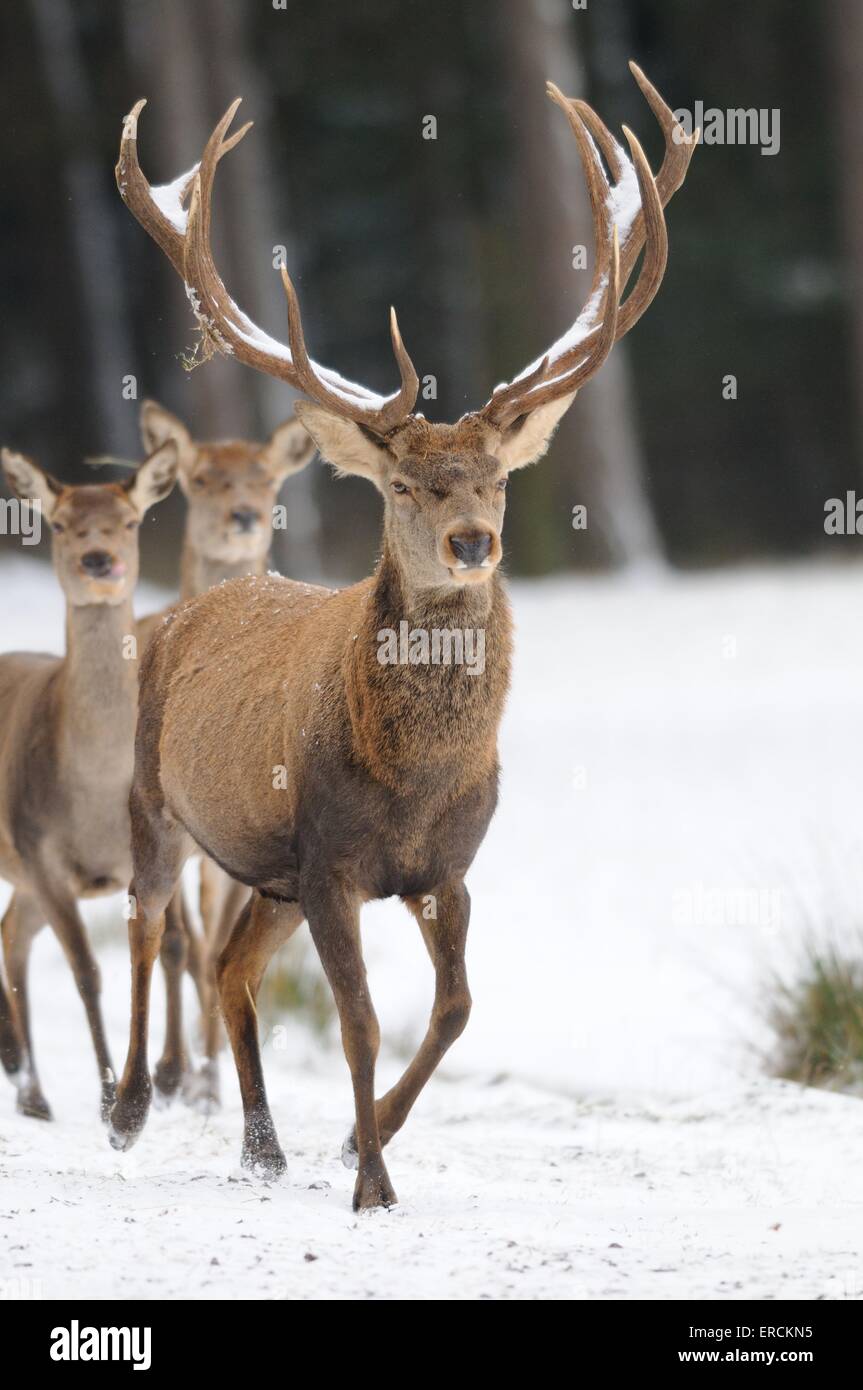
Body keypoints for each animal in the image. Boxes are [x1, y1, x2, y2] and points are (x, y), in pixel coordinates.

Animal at [0, 444, 178, 1121]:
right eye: (61, 521)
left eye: (129, 520)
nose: (99, 559)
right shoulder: (40, 851)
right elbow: (87, 973)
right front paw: (108, 1099)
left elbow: (155, 952)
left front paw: (146, 1090)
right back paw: (22, 1075)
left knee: (11, 935)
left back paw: (30, 1089)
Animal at [135, 401, 315, 1111]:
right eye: (203, 478)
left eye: (265, 477)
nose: (243, 516)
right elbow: (180, 938)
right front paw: (177, 1073)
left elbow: (210, 937)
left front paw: (208, 1077)